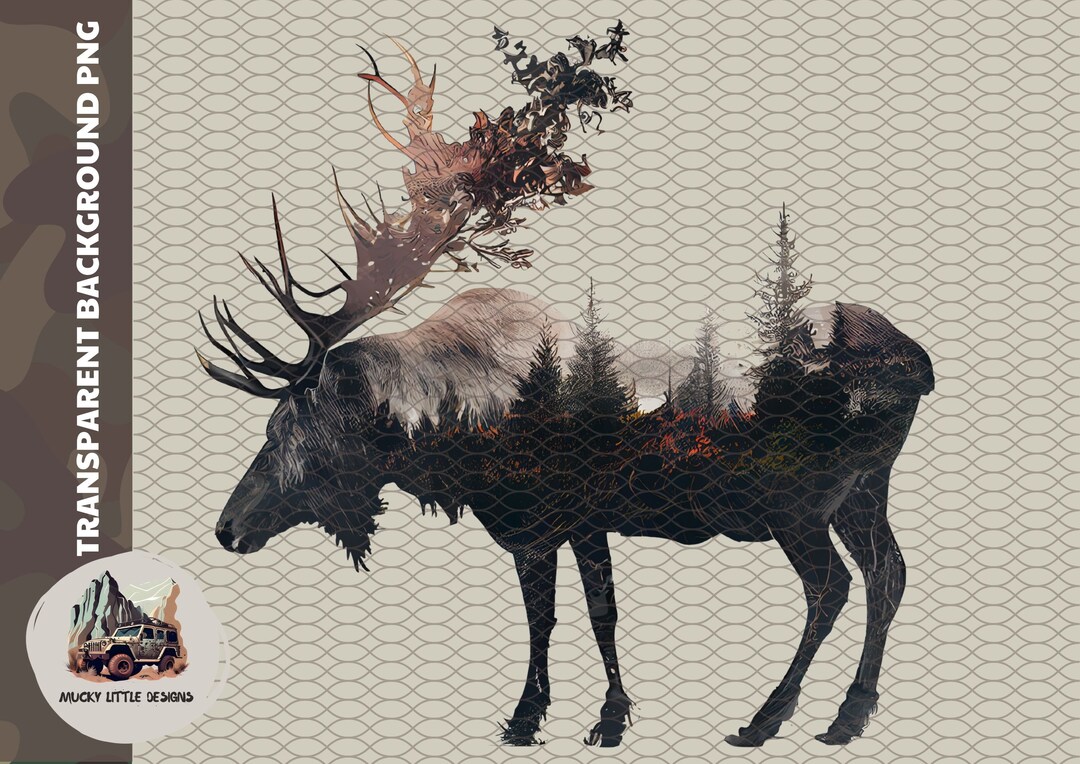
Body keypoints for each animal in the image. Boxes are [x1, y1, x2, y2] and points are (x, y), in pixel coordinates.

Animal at [197, 26, 934, 749]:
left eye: (287, 430)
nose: (227, 529)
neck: (450, 434)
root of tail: (919, 364)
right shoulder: (582, 522)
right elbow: (592, 613)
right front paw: (595, 716)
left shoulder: (536, 518)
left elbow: (555, 617)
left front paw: (541, 717)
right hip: (864, 490)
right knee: (889, 573)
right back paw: (847, 715)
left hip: (796, 503)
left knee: (832, 587)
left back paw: (766, 718)